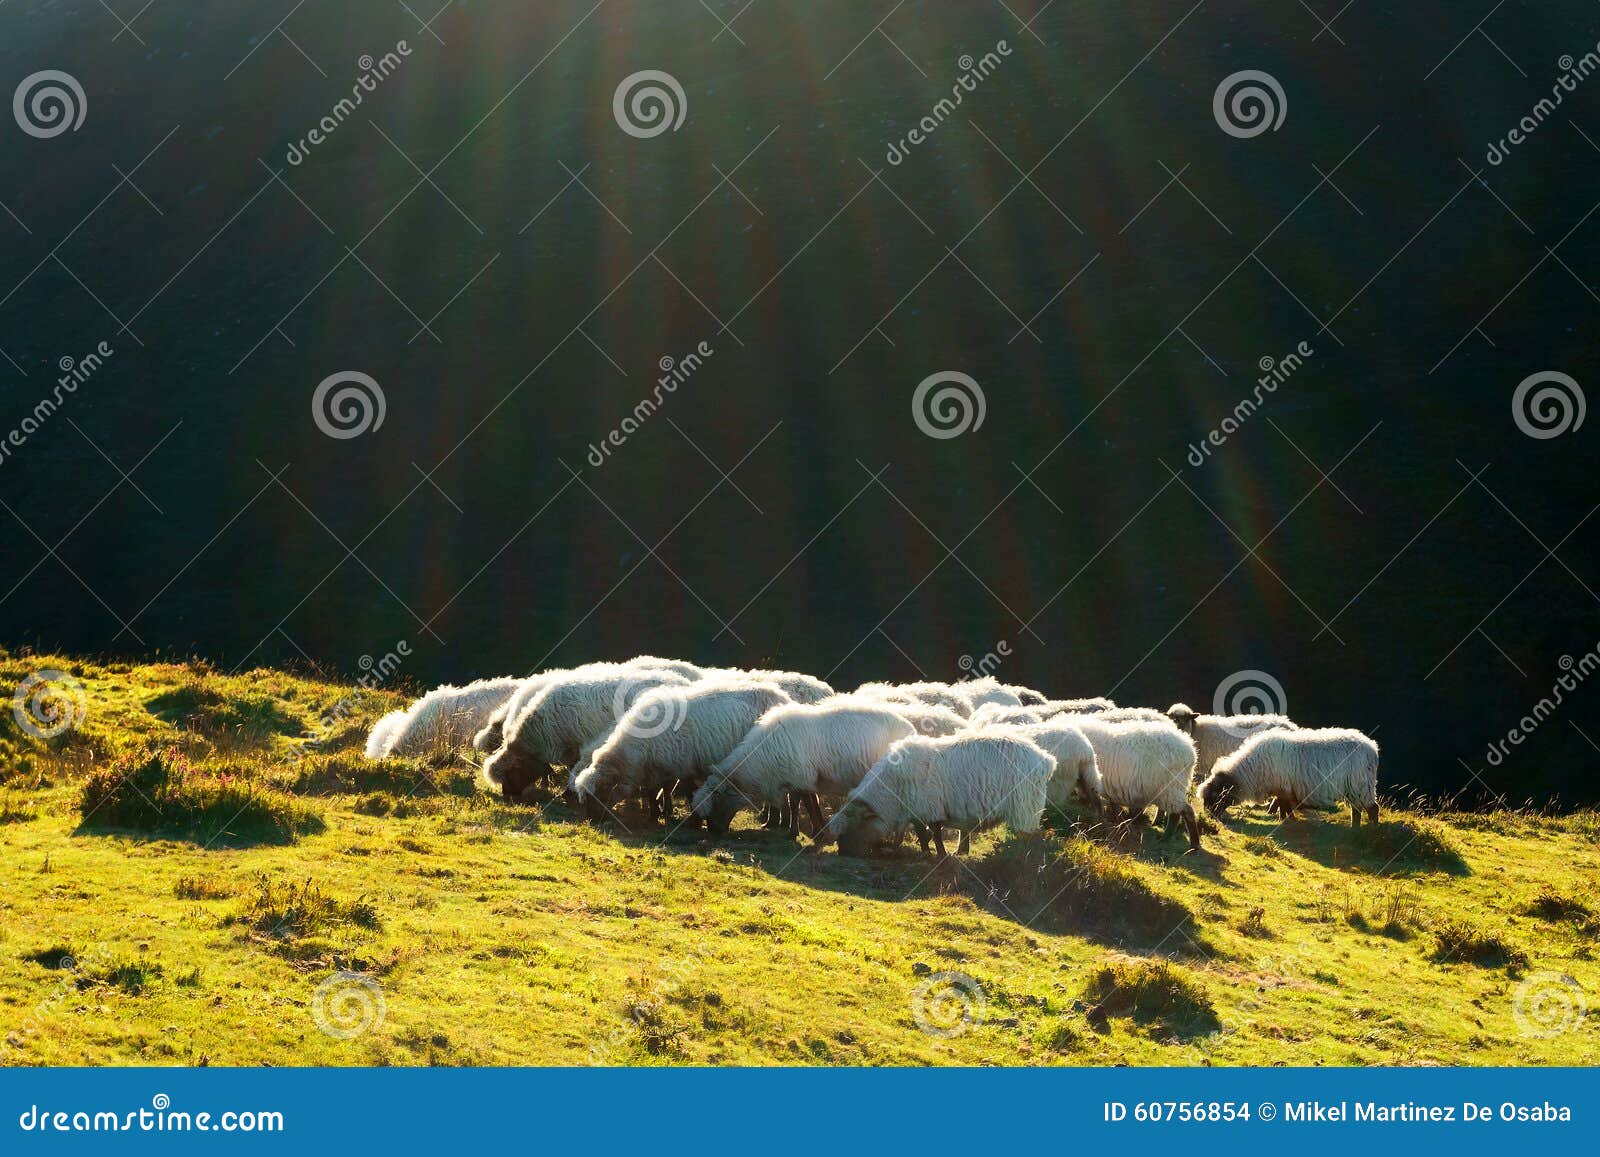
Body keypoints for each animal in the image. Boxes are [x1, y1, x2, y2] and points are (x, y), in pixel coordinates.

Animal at [574, 681, 793, 822]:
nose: (591, 820)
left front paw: (672, 814)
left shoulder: (679, 764)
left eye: (600, 792)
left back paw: (772, 821)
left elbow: (674, 790)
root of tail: (782, 696)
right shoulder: (659, 767)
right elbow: (654, 790)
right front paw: (657, 813)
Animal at [693, 697, 920, 836]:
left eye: (718, 798)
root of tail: (910, 728)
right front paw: (814, 829)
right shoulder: (801, 778)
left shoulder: (800, 776)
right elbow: (806, 801)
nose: (714, 831)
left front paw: (798, 832)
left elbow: (799, 803)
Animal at [814, 732, 1054, 857]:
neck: (892, 790)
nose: (843, 853)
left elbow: (933, 832)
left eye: (852, 826)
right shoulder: (916, 811)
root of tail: (1045, 759)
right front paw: (928, 851)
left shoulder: (927, 808)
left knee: (1030, 837)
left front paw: (937, 855)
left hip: (1026, 806)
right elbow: (924, 833)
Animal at [1068, 717, 1201, 851]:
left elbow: (1092, 800)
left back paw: (1186, 842)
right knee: (1177, 813)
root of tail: (1190, 750)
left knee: (1185, 812)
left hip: (1170, 788)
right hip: (1171, 789)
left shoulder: (1088, 777)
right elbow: (1107, 803)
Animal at [1201, 727, 1380, 827]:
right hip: (1354, 787)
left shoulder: (1283, 787)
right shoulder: (1283, 788)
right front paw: (1285, 818)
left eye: (1215, 796)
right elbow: (1283, 804)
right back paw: (1355, 827)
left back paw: (1370, 829)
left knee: (1372, 808)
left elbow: (1283, 804)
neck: (1251, 773)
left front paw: (1286, 819)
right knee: (1357, 810)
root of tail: (1371, 747)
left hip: (1360, 784)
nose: (1209, 817)